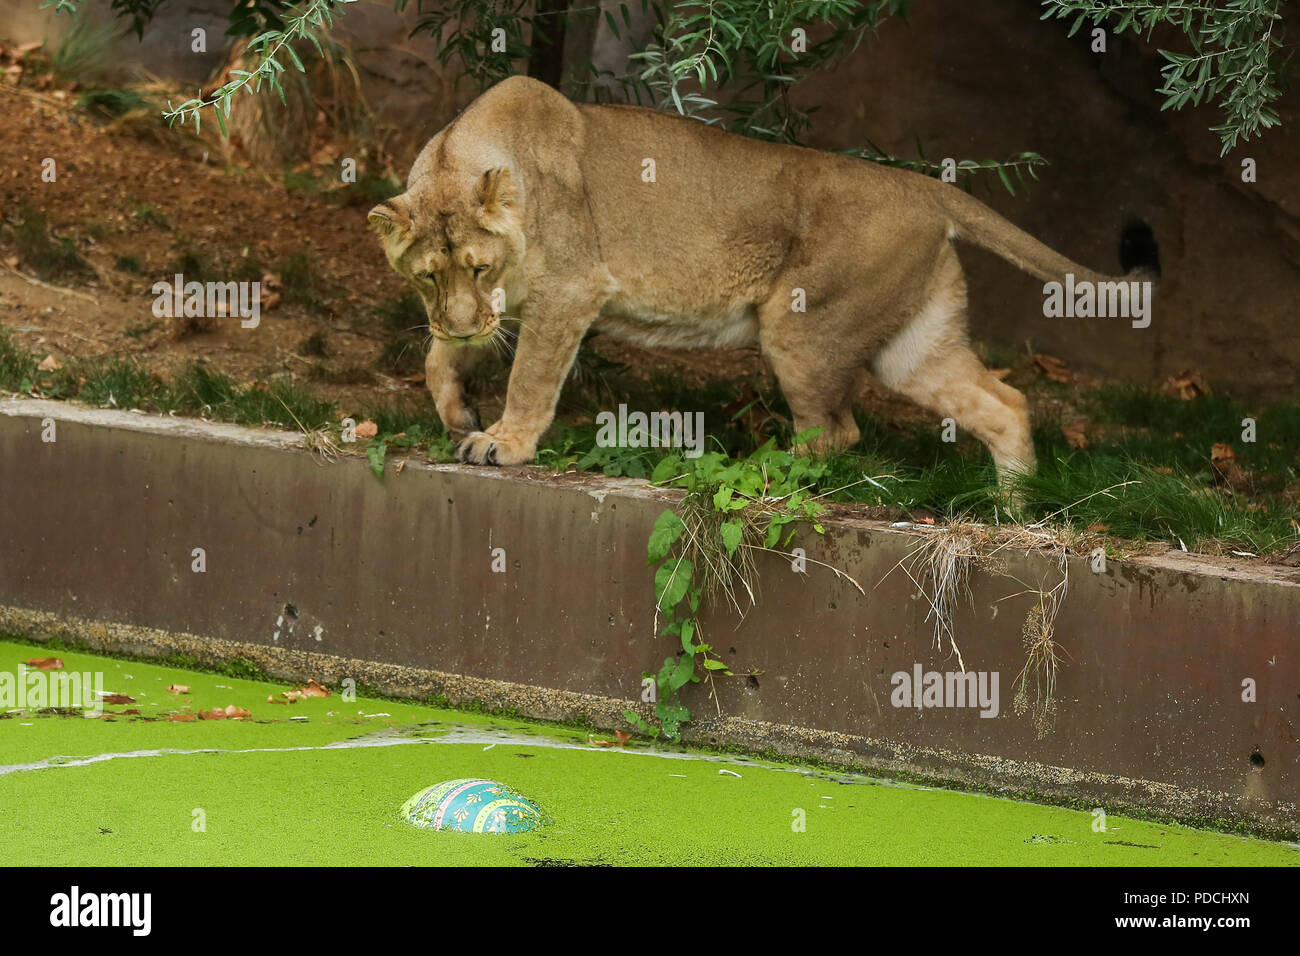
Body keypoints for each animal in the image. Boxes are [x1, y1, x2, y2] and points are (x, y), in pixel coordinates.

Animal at [368, 75, 1158, 482]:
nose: (461, 320)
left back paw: (767, 465)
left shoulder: (569, 290)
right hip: (913, 346)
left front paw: (505, 441)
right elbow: (440, 358)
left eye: (480, 265)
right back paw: (1014, 507)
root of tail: (925, 187)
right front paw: (459, 415)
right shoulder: (497, 307)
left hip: (801, 325)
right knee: (1005, 402)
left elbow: (530, 376)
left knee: (838, 433)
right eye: (428, 278)